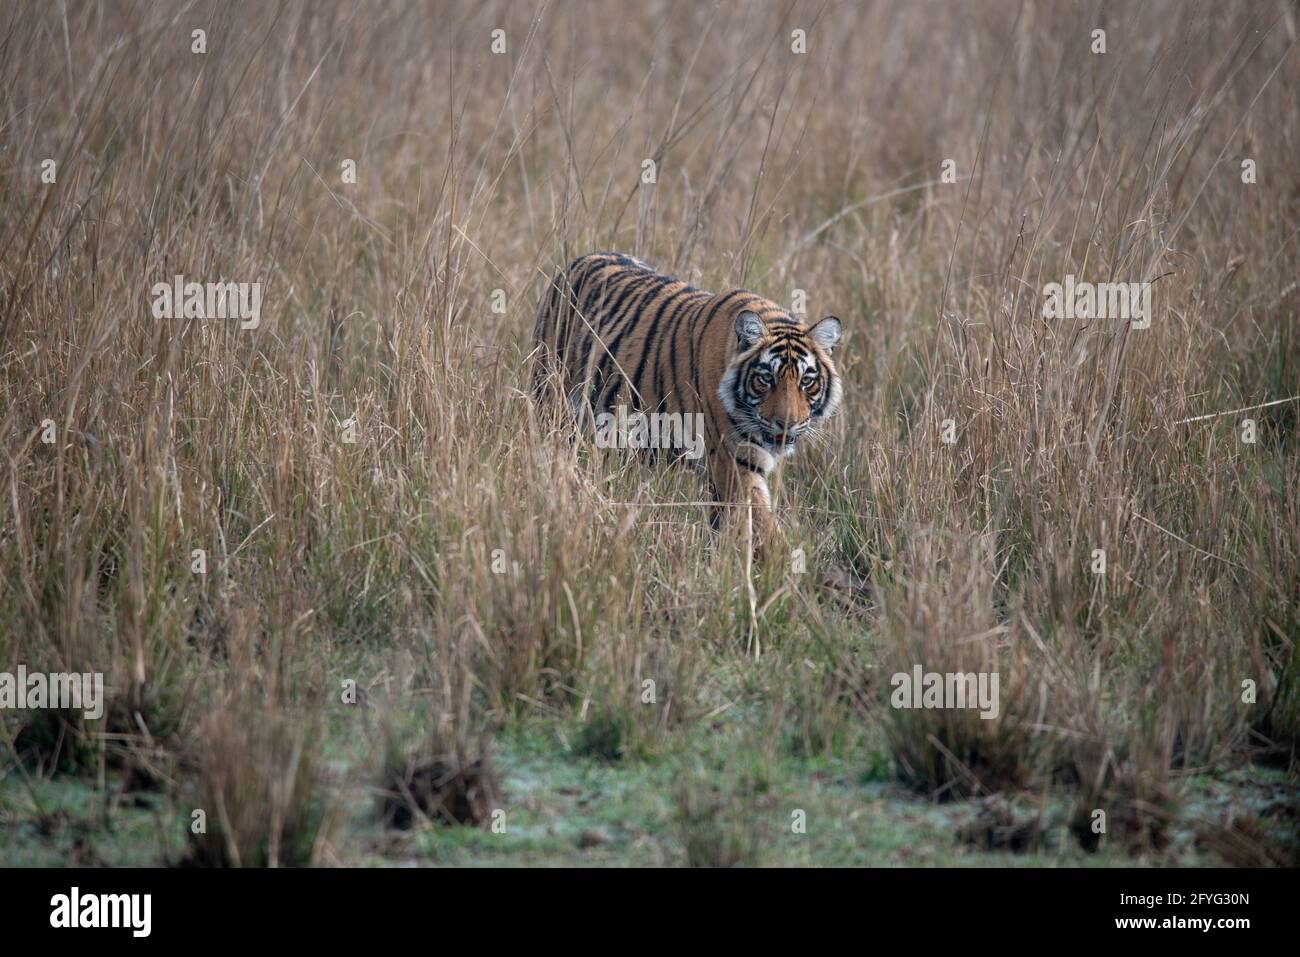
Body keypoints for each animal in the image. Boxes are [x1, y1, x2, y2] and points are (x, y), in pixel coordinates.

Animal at [531, 252, 843, 555]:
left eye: (806, 381)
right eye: (766, 378)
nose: (787, 423)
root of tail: (575, 262)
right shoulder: (736, 466)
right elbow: (766, 531)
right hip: (553, 404)